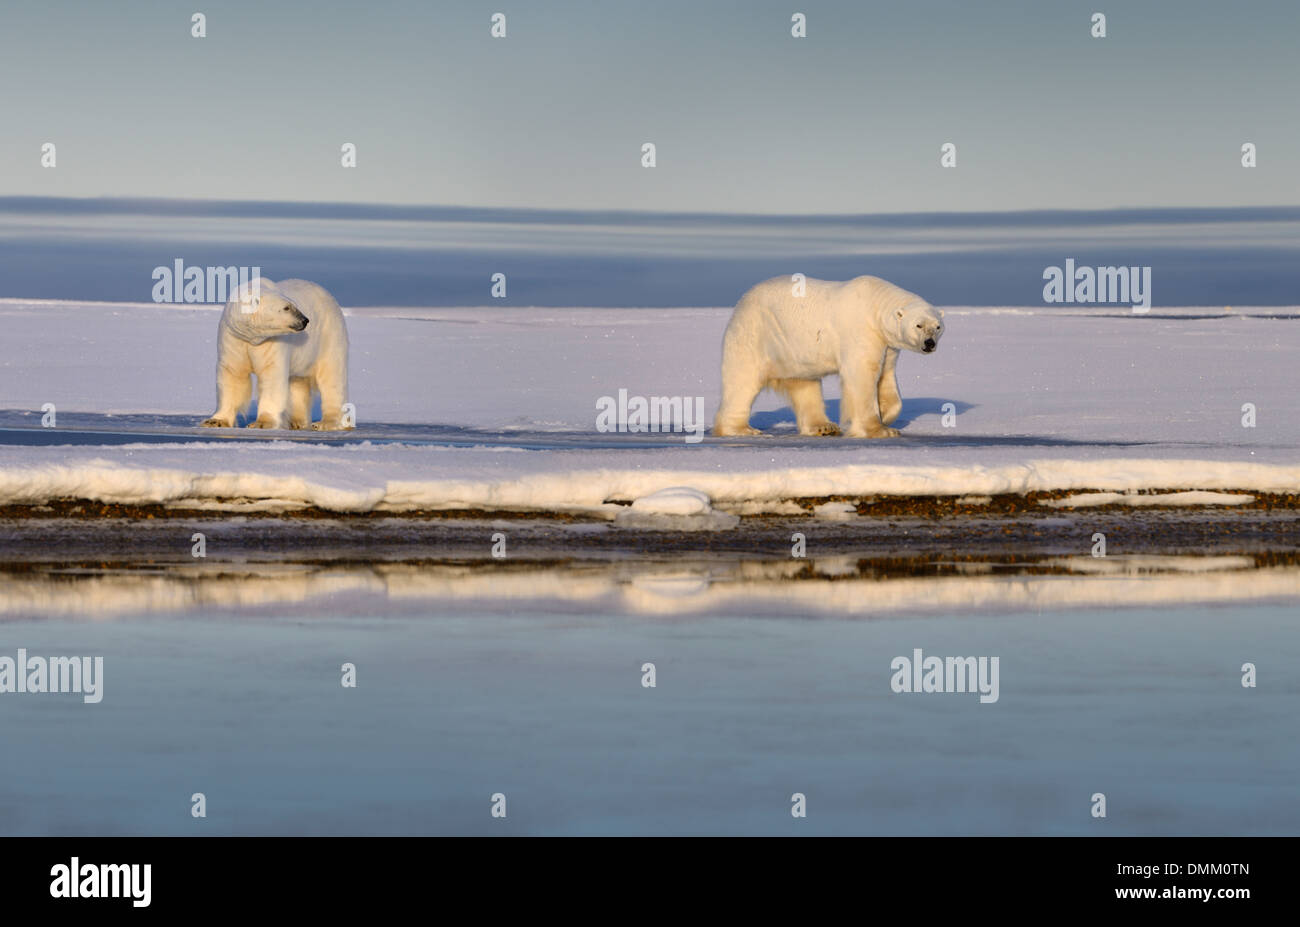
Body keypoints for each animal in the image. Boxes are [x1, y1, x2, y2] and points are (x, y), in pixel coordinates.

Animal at [200, 278, 353, 431]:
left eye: (294, 305)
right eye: (286, 308)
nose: (305, 320)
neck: (252, 337)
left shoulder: (272, 341)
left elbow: (271, 375)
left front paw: (261, 423)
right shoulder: (233, 339)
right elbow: (233, 375)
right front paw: (215, 421)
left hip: (329, 334)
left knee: (332, 378)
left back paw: (326, 423)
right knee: (297, 381)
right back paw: (296, 422)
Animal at [713, 275, 944, 438]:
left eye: (938, 326)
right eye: (918, 325)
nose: (929, 343)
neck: (875, 306)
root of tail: (742, 301)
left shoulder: (887, 345)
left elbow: (886, 377)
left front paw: (886, 415)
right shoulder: (861, 333)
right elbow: (863, 374)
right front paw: (880, 429)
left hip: (793, 350)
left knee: (806, 385)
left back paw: (823, 427)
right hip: (755, 332)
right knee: (743, 380)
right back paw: (741, 429)